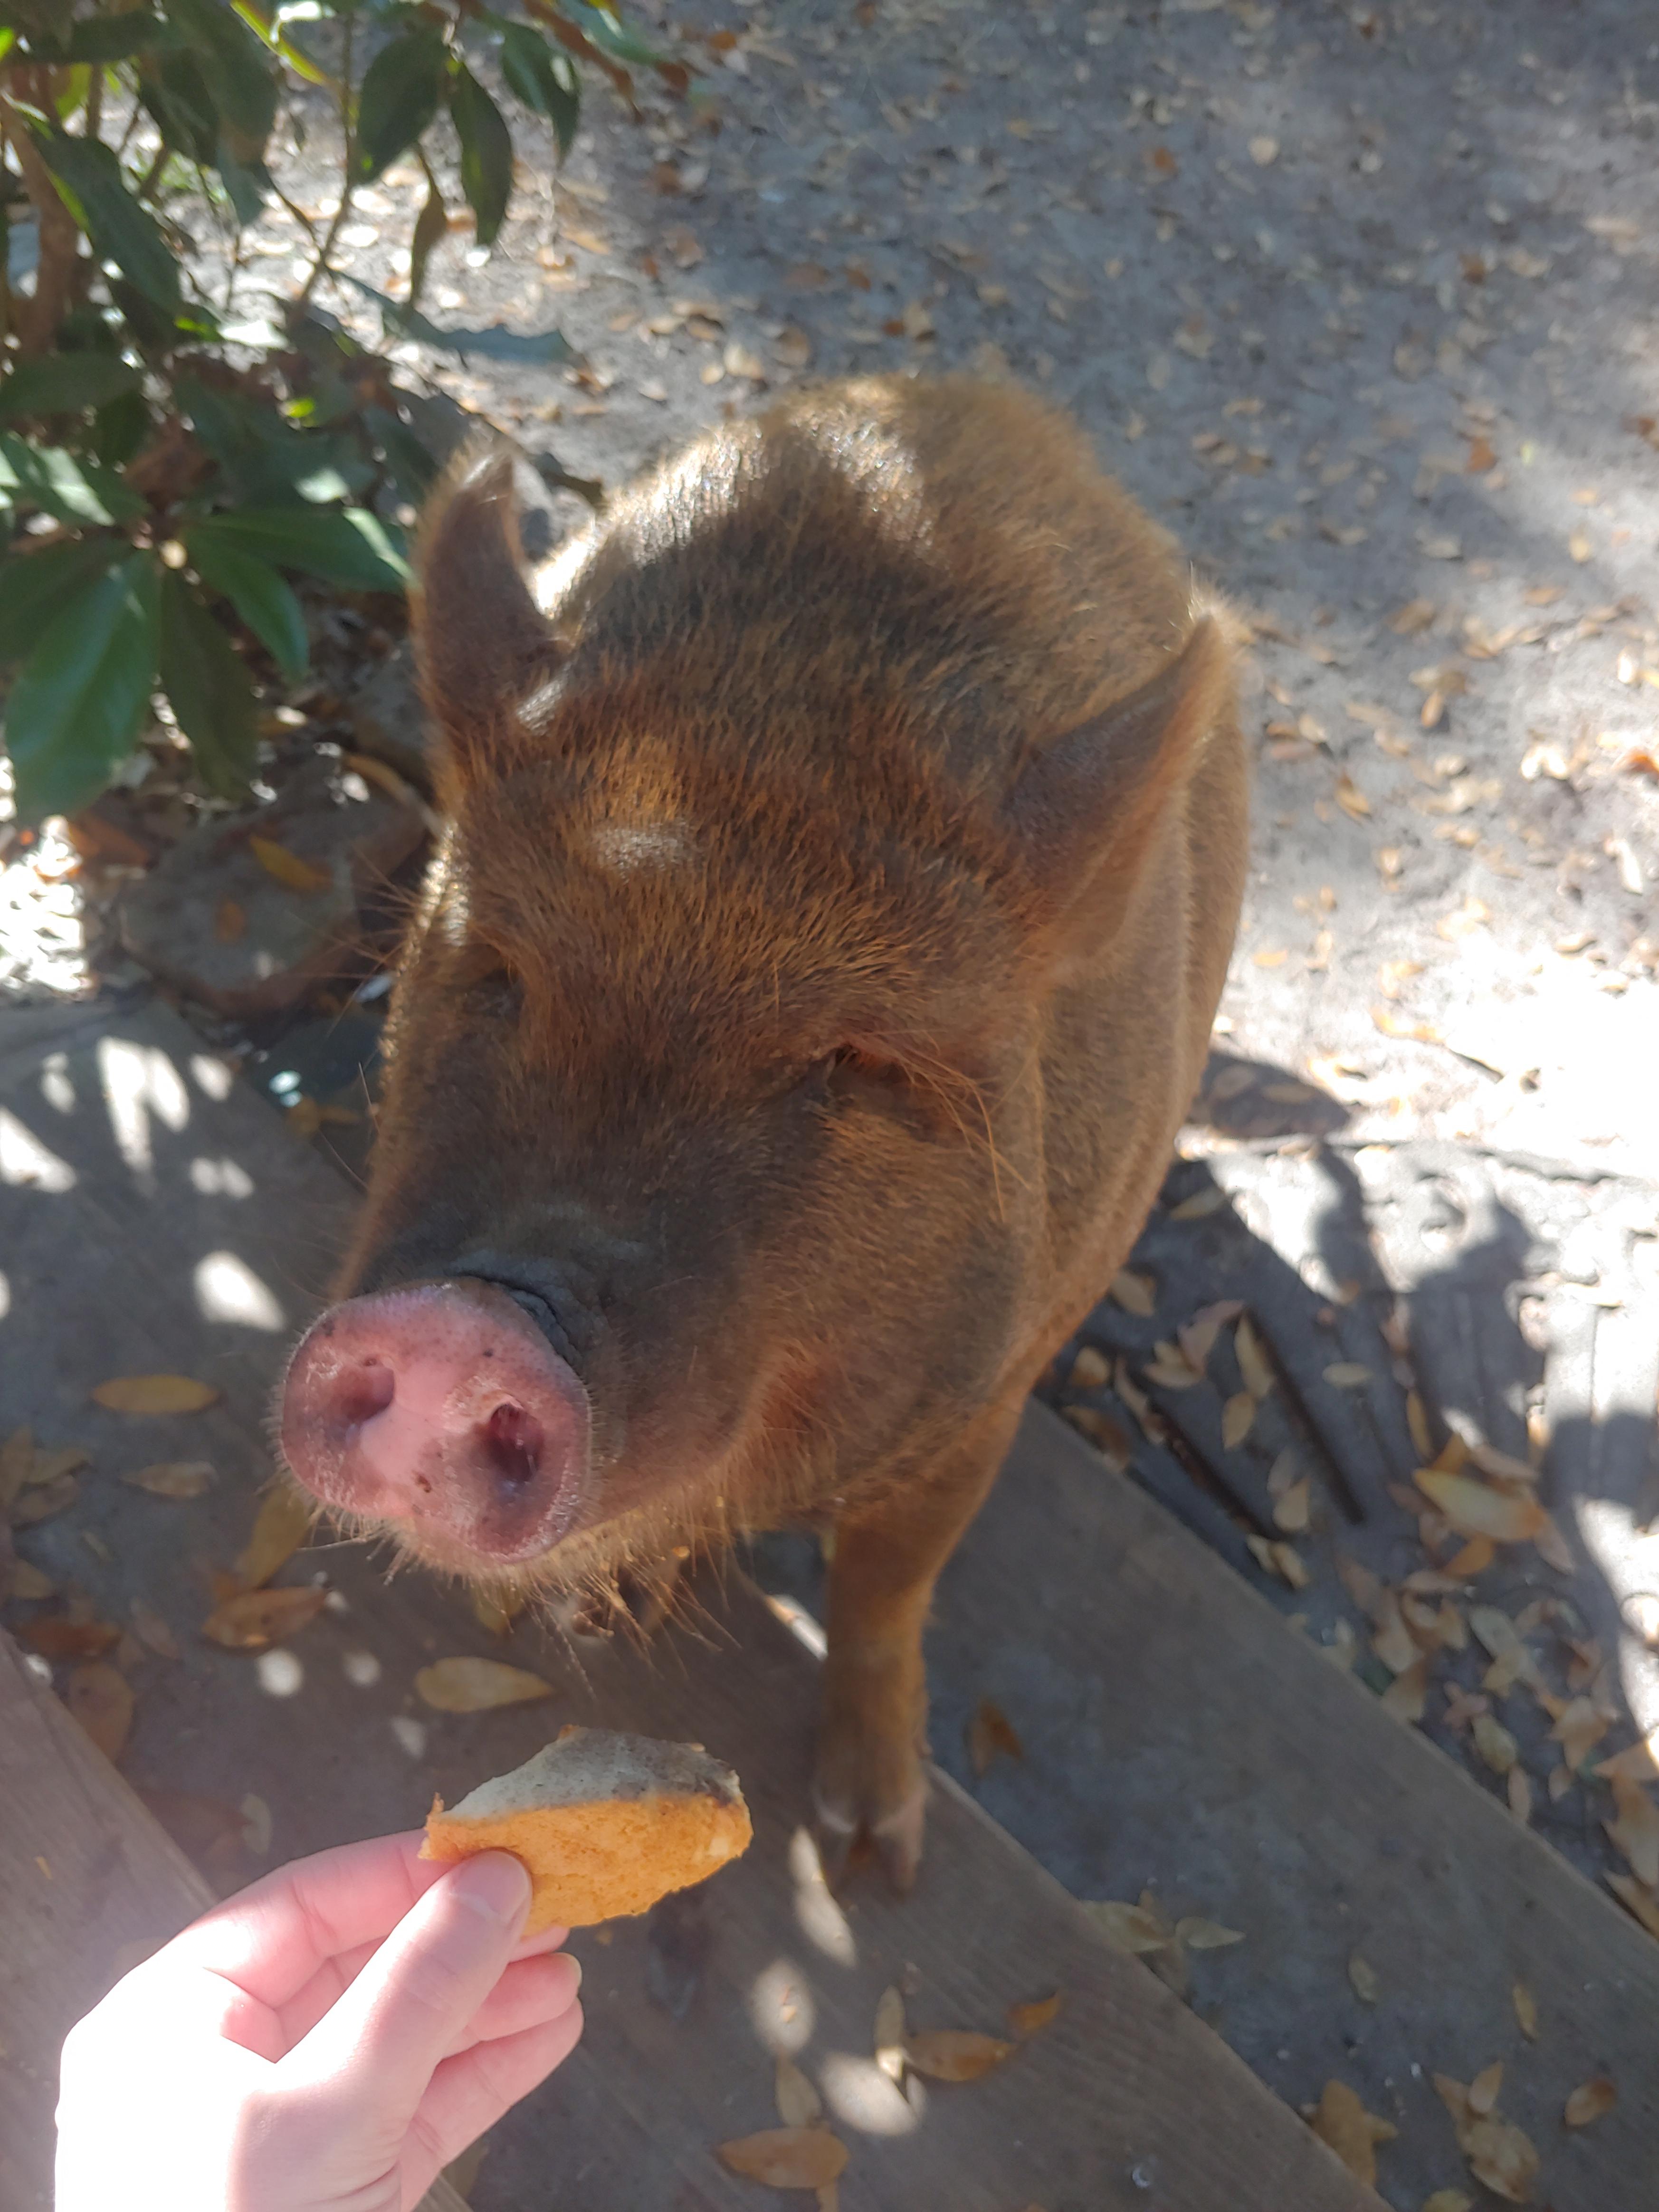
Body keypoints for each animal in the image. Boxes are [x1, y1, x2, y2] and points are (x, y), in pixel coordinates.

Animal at [279, 374, 1247, 1889]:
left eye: (855, 1060)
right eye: (498, 966)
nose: (464, 1322)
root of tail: (979, 401)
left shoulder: (985, 1401)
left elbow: (887, 1588)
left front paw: (874, 1855)